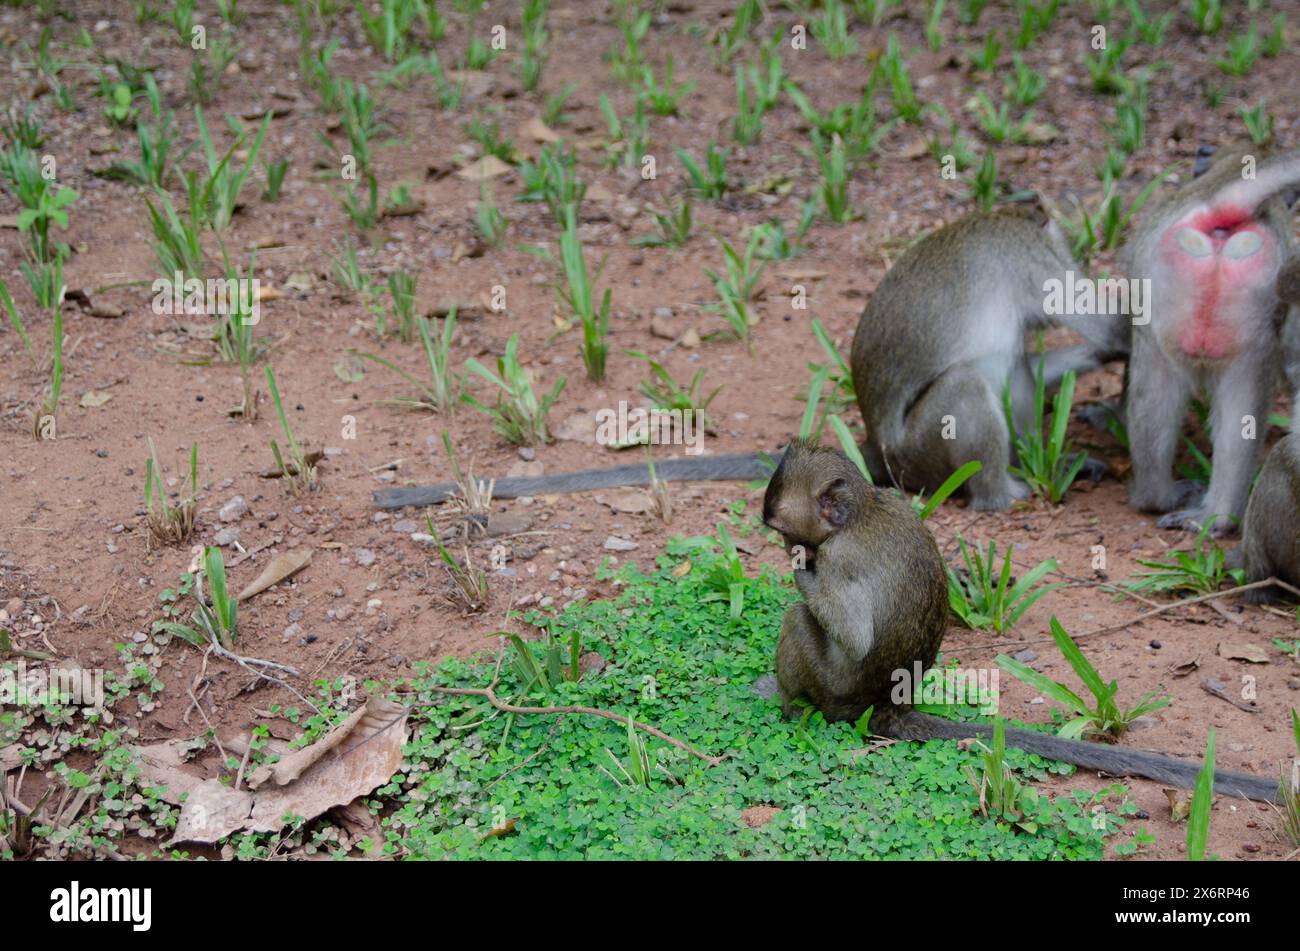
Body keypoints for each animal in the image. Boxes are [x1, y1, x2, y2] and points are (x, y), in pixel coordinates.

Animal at [762, 439, 1281, 803]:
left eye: (784, 532)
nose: (790, 549)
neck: (862, 512)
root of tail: (888, 705)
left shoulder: (840, 559)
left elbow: (853, 636)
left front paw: (801, 571)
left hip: (836, 693)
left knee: (799, 620)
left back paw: (787, 707)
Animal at [849, 208, 1121, 512]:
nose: (1071, 260)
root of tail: (876, 446)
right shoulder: (1031, 255)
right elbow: (1108, 328)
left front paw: (1100, 355)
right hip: (917, 452)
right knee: (965, 385)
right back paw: (998, 495)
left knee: (1014, 366)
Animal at [1119, 144, 1300, 535]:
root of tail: (1226, 205)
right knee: (1239, 405)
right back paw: (1217, 517)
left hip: (1163, 288)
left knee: (1153, 381)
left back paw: (1155, 498)